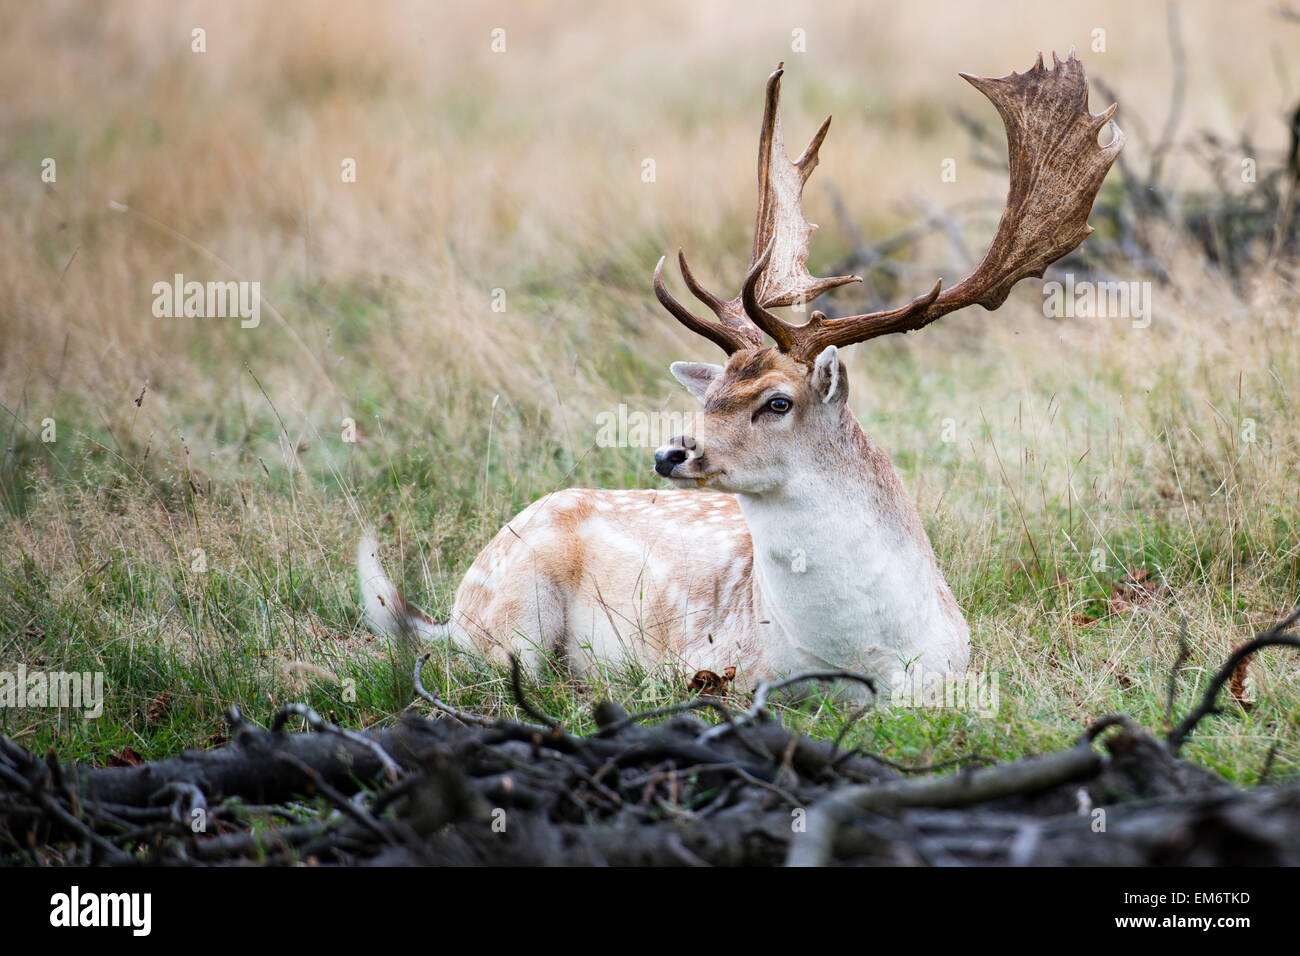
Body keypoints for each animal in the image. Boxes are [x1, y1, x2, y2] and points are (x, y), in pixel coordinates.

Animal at [360, 52, 1123, 701]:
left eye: (777, 402)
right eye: (715, 393)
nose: (670, 452)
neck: (867, 658)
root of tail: (456, 603)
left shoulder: (956, 668)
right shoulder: (717, 667)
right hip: (511, 615)